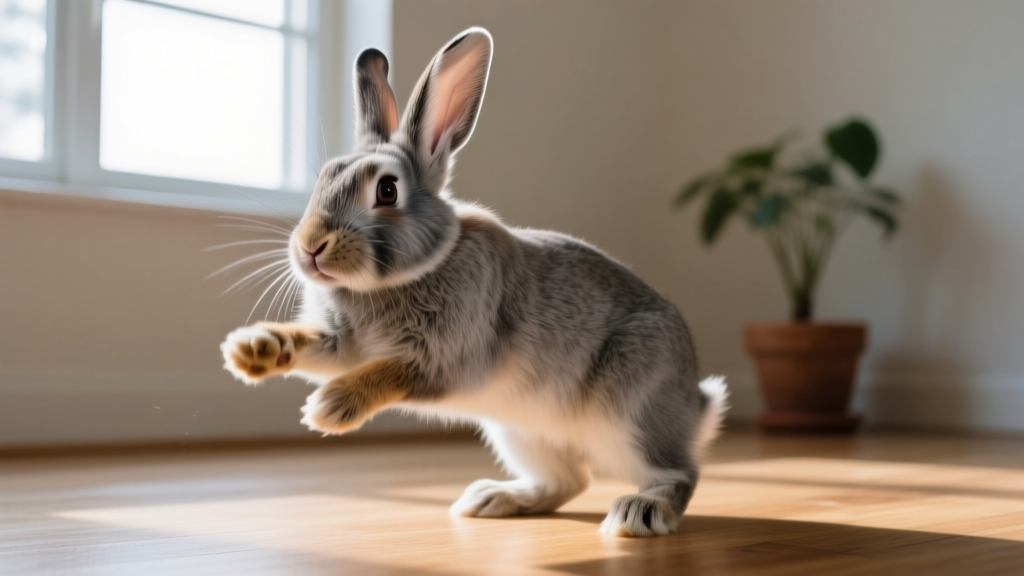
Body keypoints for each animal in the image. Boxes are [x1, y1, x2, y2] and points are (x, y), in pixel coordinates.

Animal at [220, 27, 728, 538]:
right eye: (323, 179)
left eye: (387, 190)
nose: (310, 246)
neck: (397, 278)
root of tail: (695, 404)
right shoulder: (341, 345)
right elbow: (313, 345)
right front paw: (252, 350)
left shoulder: (452, 357)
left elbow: (395, 371)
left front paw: (330, 406)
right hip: (522, 434)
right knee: (568, 481)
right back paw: (491, 499)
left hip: (631, 415)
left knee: (678, 472)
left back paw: (637, 513)